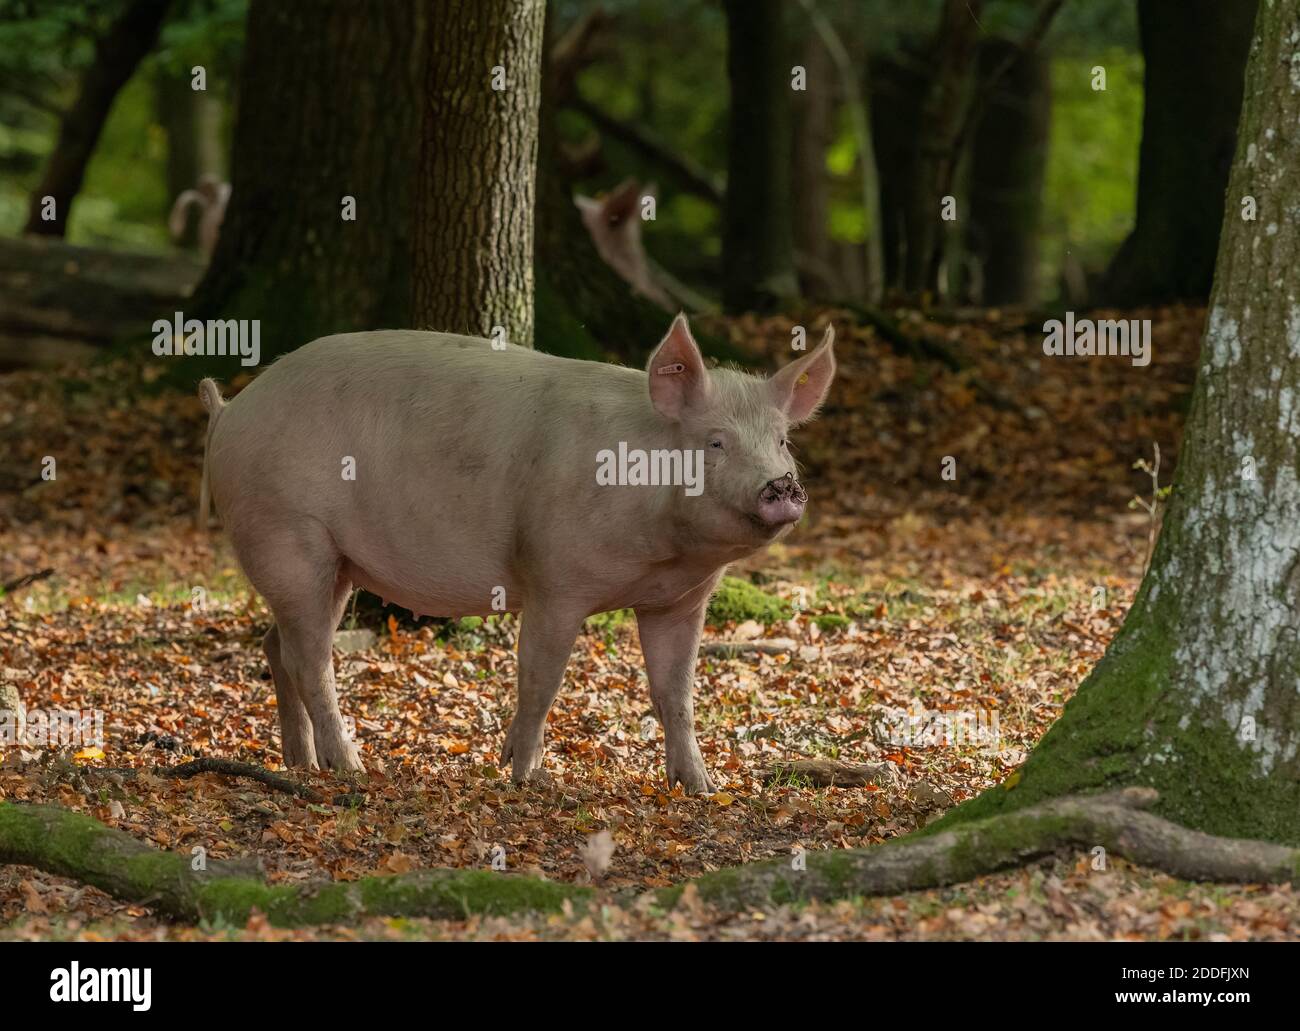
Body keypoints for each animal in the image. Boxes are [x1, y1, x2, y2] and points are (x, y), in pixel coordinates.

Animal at [199, 314, 835, 792]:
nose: (781, 483)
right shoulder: (554, 577)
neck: (664, 553)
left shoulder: (680, 599)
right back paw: (349, 768)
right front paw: (526, 777)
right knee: (310, 658)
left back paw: (299, 762)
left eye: (781, 440)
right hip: (287, 533)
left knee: (278, 645)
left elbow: (675, 692)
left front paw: (699, 787)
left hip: (335, 564)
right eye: (716, 442)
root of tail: (229, 411)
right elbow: (540, 678)